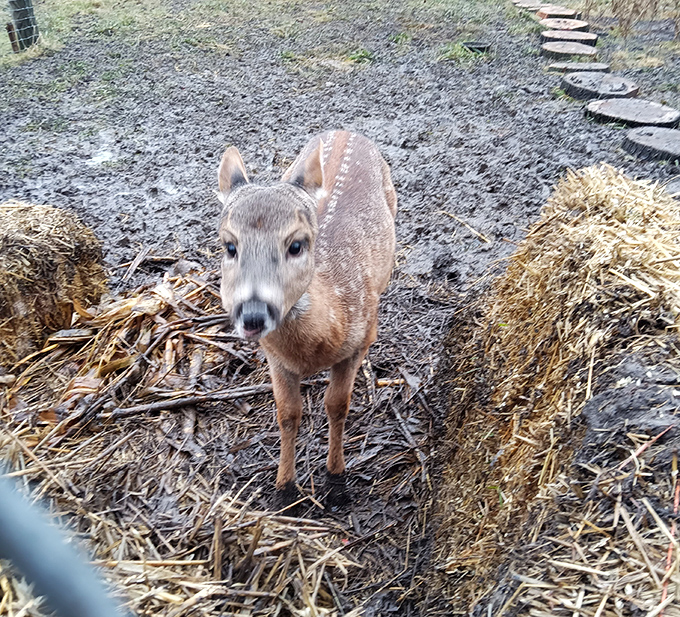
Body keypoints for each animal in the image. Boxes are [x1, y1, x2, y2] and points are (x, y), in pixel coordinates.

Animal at [217, 130, 397, 506]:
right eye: (230, 246)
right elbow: (287, 414)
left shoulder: (355, 344)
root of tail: (346, 130)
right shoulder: (276, 359)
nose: (253, 316)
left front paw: (337, 482)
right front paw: (284, 489)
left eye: (296, 245)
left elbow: (337, 405)